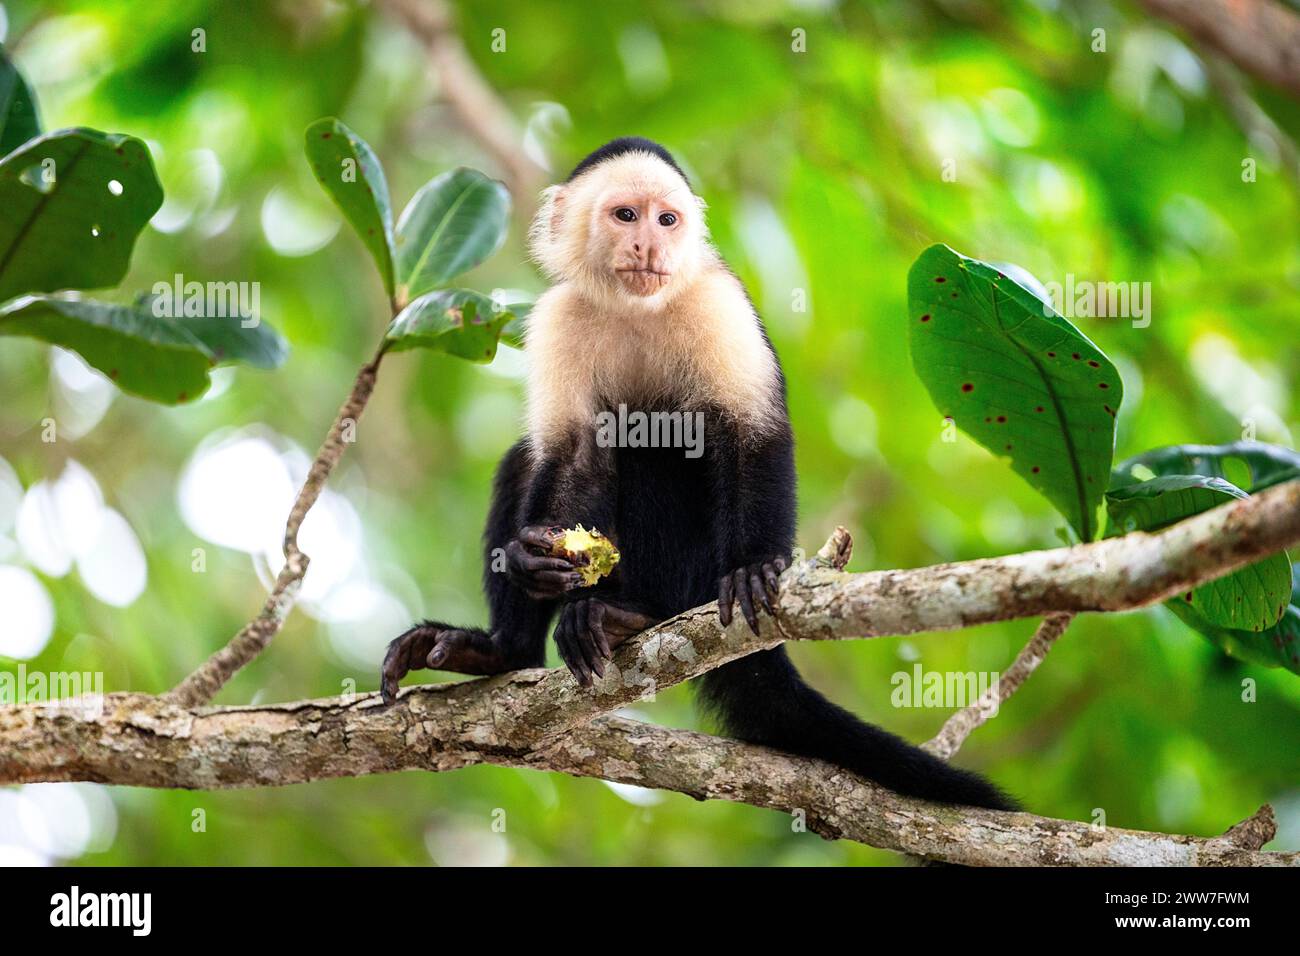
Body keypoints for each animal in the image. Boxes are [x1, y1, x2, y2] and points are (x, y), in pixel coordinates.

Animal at [381, 136, 1017, 812]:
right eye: (626, 216)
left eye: (667, 220)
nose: (649, 246)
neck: (637, 310)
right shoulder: (558, 318)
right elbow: (572, 452)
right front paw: (532, 559)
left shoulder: (719, 303)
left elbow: (751, 434)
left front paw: (755, 567)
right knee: (527, 459)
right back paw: (505, 649)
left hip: (692, 575)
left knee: (654, 449)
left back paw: (635, 614)